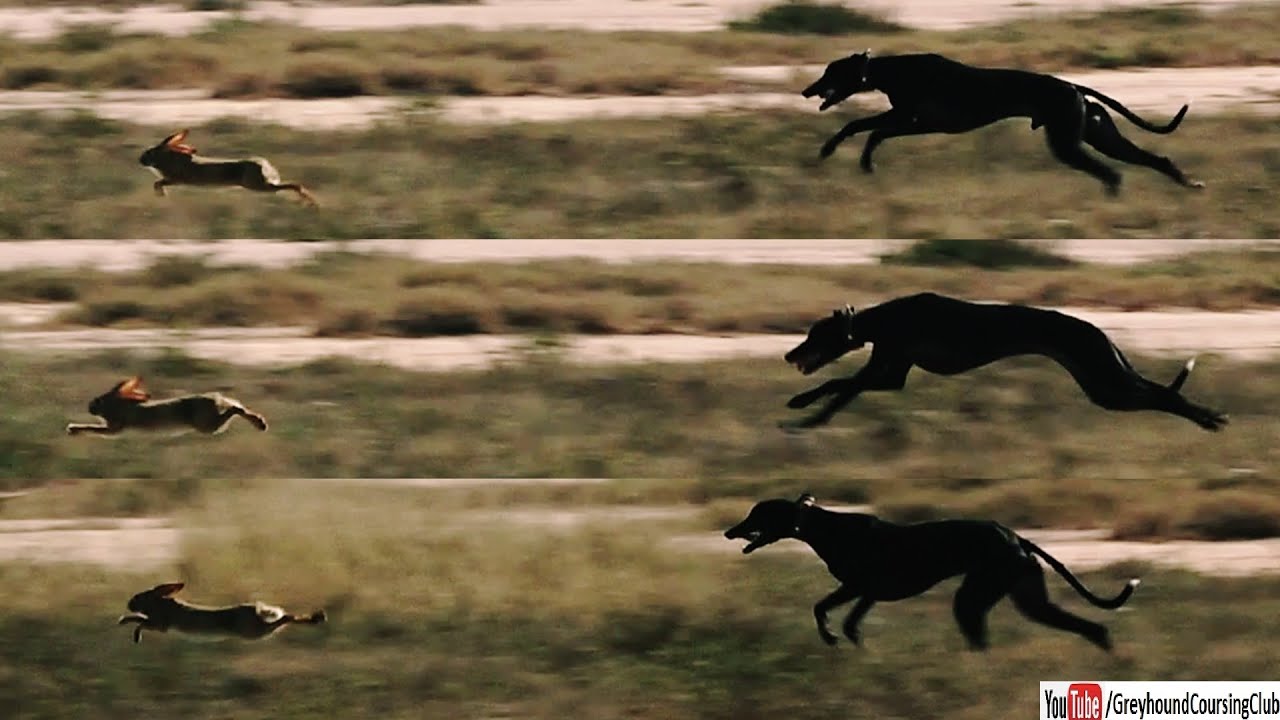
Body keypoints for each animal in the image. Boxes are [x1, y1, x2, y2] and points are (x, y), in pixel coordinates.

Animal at [66, 376, 269, 436]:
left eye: (98, 401)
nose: (89, 406)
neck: (117, 404)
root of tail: (215, 399)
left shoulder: (115, 427)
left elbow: (94, 428)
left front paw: (73, 429)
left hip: (205, 425)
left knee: (234, 409)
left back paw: (260, 424)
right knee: (236, 404)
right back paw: (260, 423)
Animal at [119, 582, 326, 643]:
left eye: (141, 596)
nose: (129, 602)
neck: (160, 602)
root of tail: (256, 609)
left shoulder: (160, 624)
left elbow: (140, 621)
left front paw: (134, 635)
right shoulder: (155, 621)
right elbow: (139, 618)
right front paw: (123, 622)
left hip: (252, 632)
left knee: (284, 619)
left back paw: (317, 618)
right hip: (256, 630)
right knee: (285, 619)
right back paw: (316, 618)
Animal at [139, 129, 318, 207]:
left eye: (151, 152)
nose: (141, 160)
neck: (167, 158)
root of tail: (265, 165)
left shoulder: (176, 179)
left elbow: (158, 183)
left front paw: (162, 195)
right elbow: (157, 183)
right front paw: (161, 196)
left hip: (257, 185)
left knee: (290, 185)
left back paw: (307, 199)